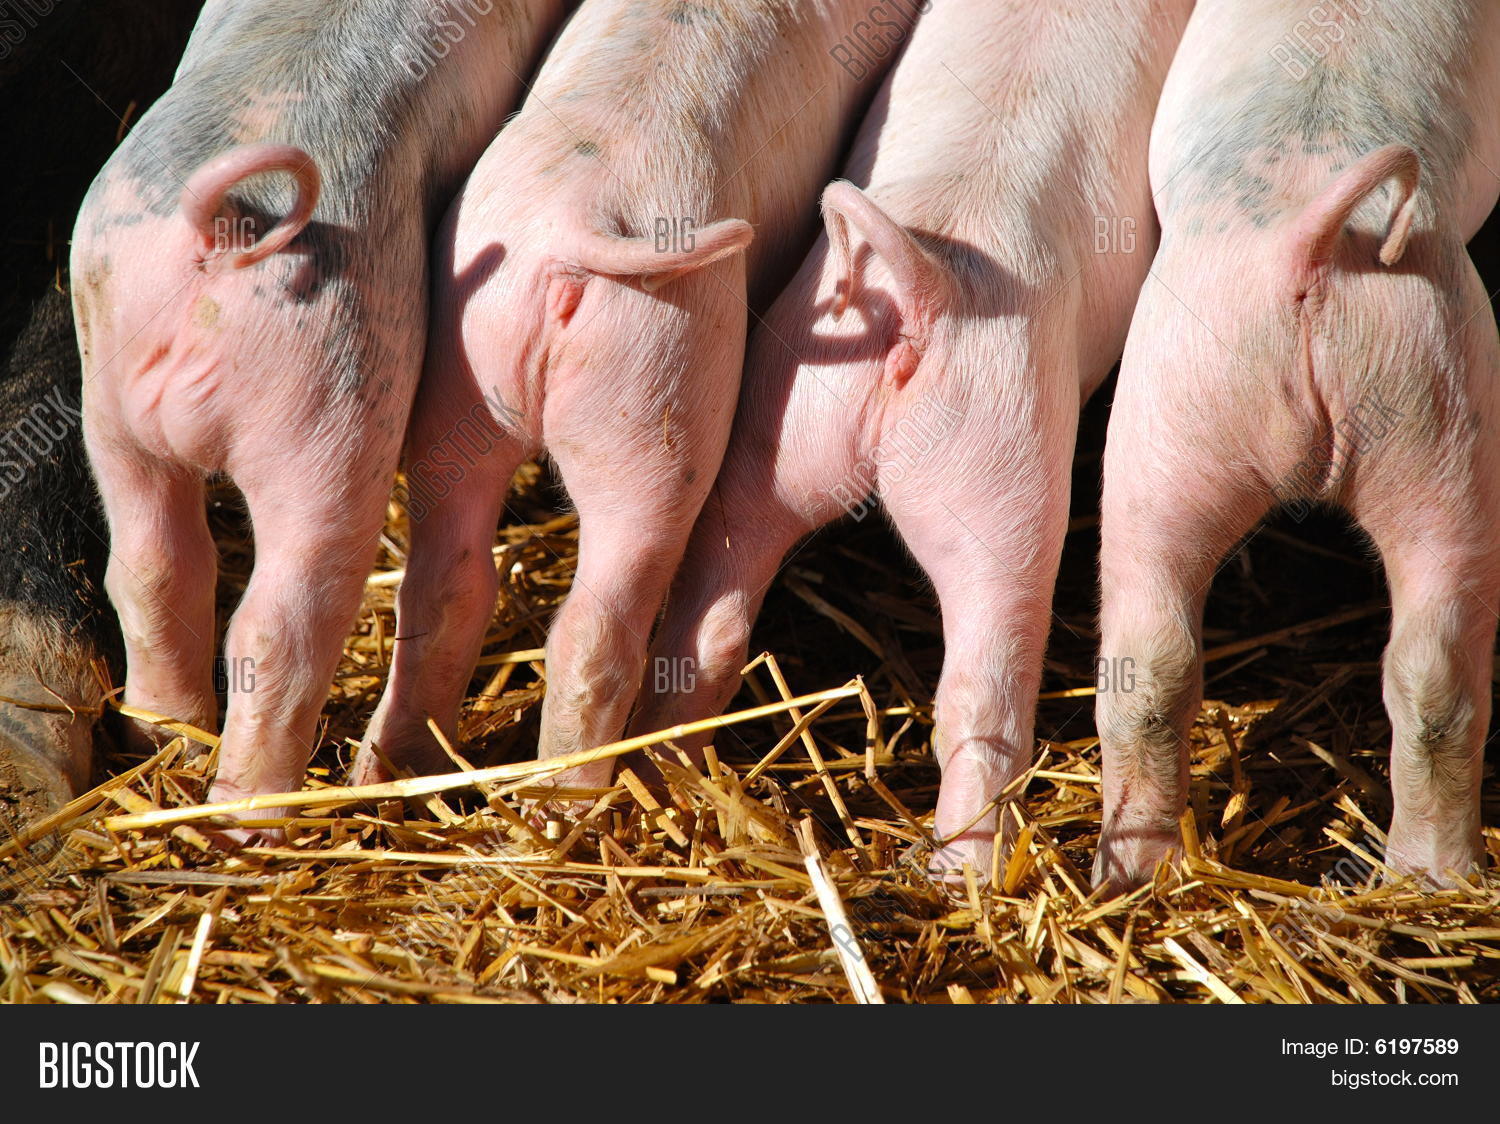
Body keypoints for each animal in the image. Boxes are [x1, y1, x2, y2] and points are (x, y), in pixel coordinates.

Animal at [72, 0, 568, 840]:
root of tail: (223, 233)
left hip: (109, 383)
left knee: (152, 566)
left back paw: (166, 744)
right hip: (336, 400)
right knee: (287, 617)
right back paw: (253, 820)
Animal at [354, 0, 921, 792]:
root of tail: (574, 227)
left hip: (468, 374)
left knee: (447, 583)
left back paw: (395, 769)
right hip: (666, 379)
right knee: (605, 624)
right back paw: (578, 795)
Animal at [626, 0, 1194, 876]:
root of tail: (924, 291)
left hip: (782, 420)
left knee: (713, 617)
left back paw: (668, 771)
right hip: (1008, 459)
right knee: (981, 692)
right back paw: (969, 878)